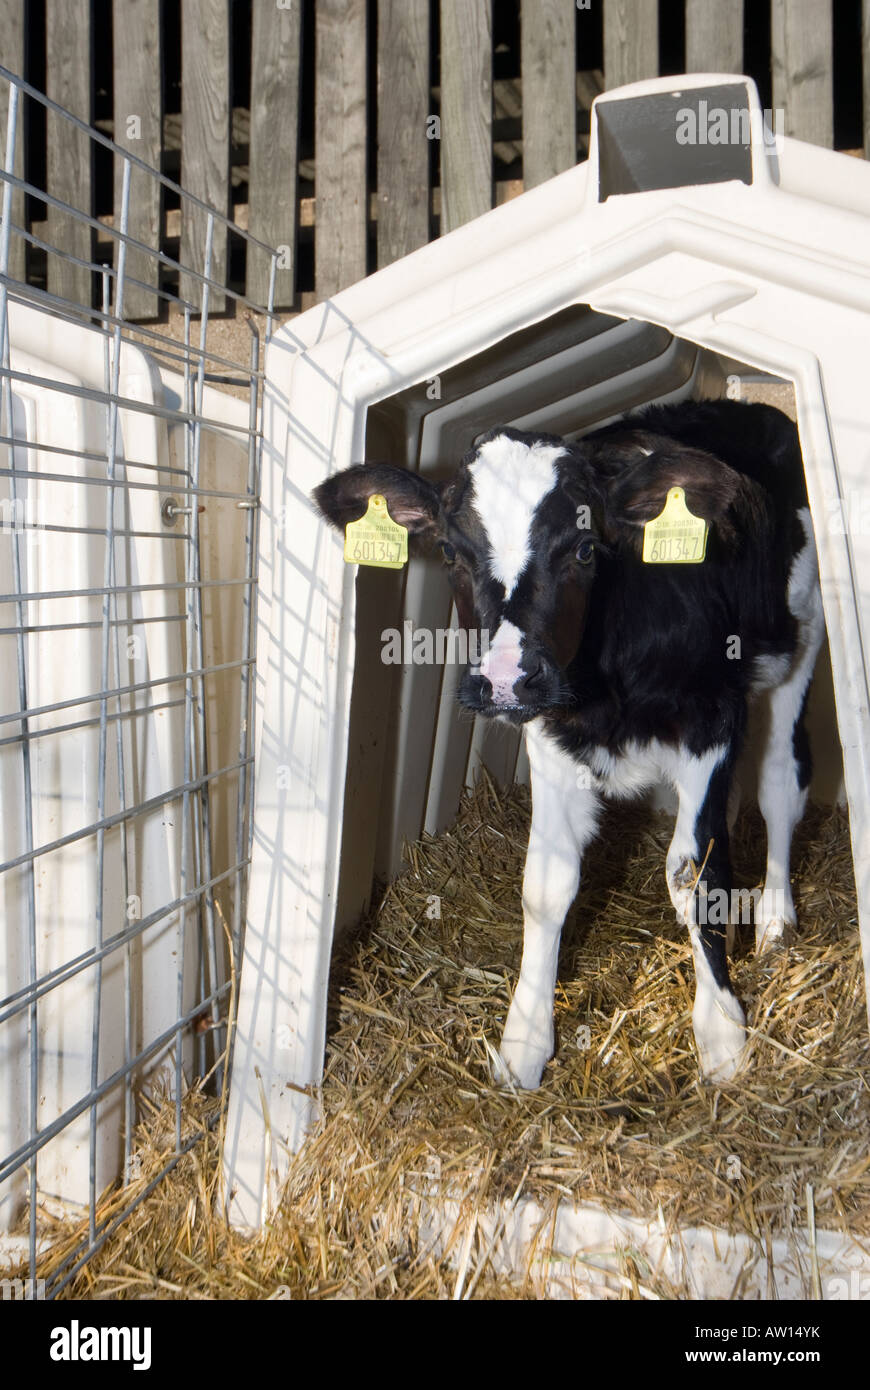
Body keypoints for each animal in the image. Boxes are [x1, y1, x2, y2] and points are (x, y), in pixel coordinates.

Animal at [313, 399, 826, 1090]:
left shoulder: (713, 724)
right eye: (449, 550)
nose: (506, 679)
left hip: (803, 643)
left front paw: (722, 1033)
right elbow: (547, 885)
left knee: (780, 781)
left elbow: (696, 874)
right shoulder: (553, 739)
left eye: (584, 548)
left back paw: (775, 923)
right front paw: (524, 1042)